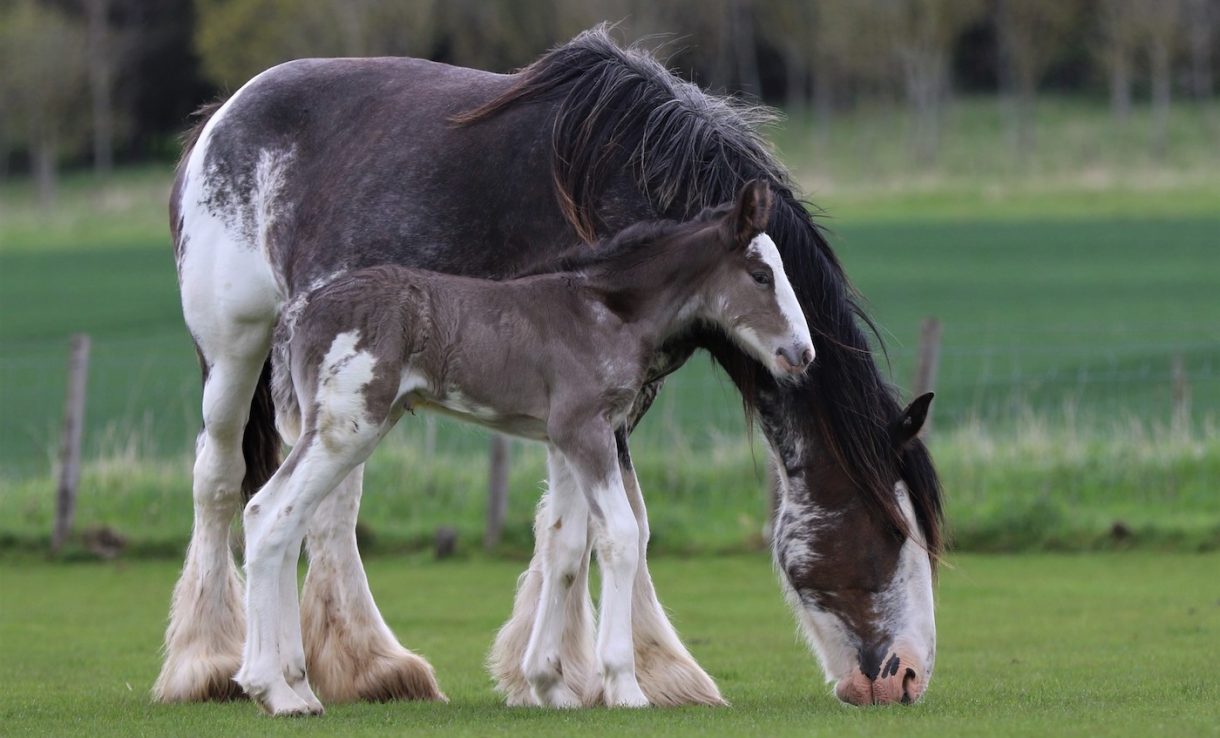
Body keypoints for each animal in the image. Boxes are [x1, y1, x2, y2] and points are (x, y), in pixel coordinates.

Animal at [238, 182, 814, 715]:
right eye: (761, 275)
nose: (802, 353)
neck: (604, 312)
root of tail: (300, 311)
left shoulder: (562, 441)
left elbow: (565, 547)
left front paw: (549, 686)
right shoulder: (587, 431)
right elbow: (621, 536)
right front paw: (625, 687)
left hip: (342, 428)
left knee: (275, 515)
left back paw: (292, 686)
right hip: (347, 427)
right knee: (274, 517)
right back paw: (275, 690)